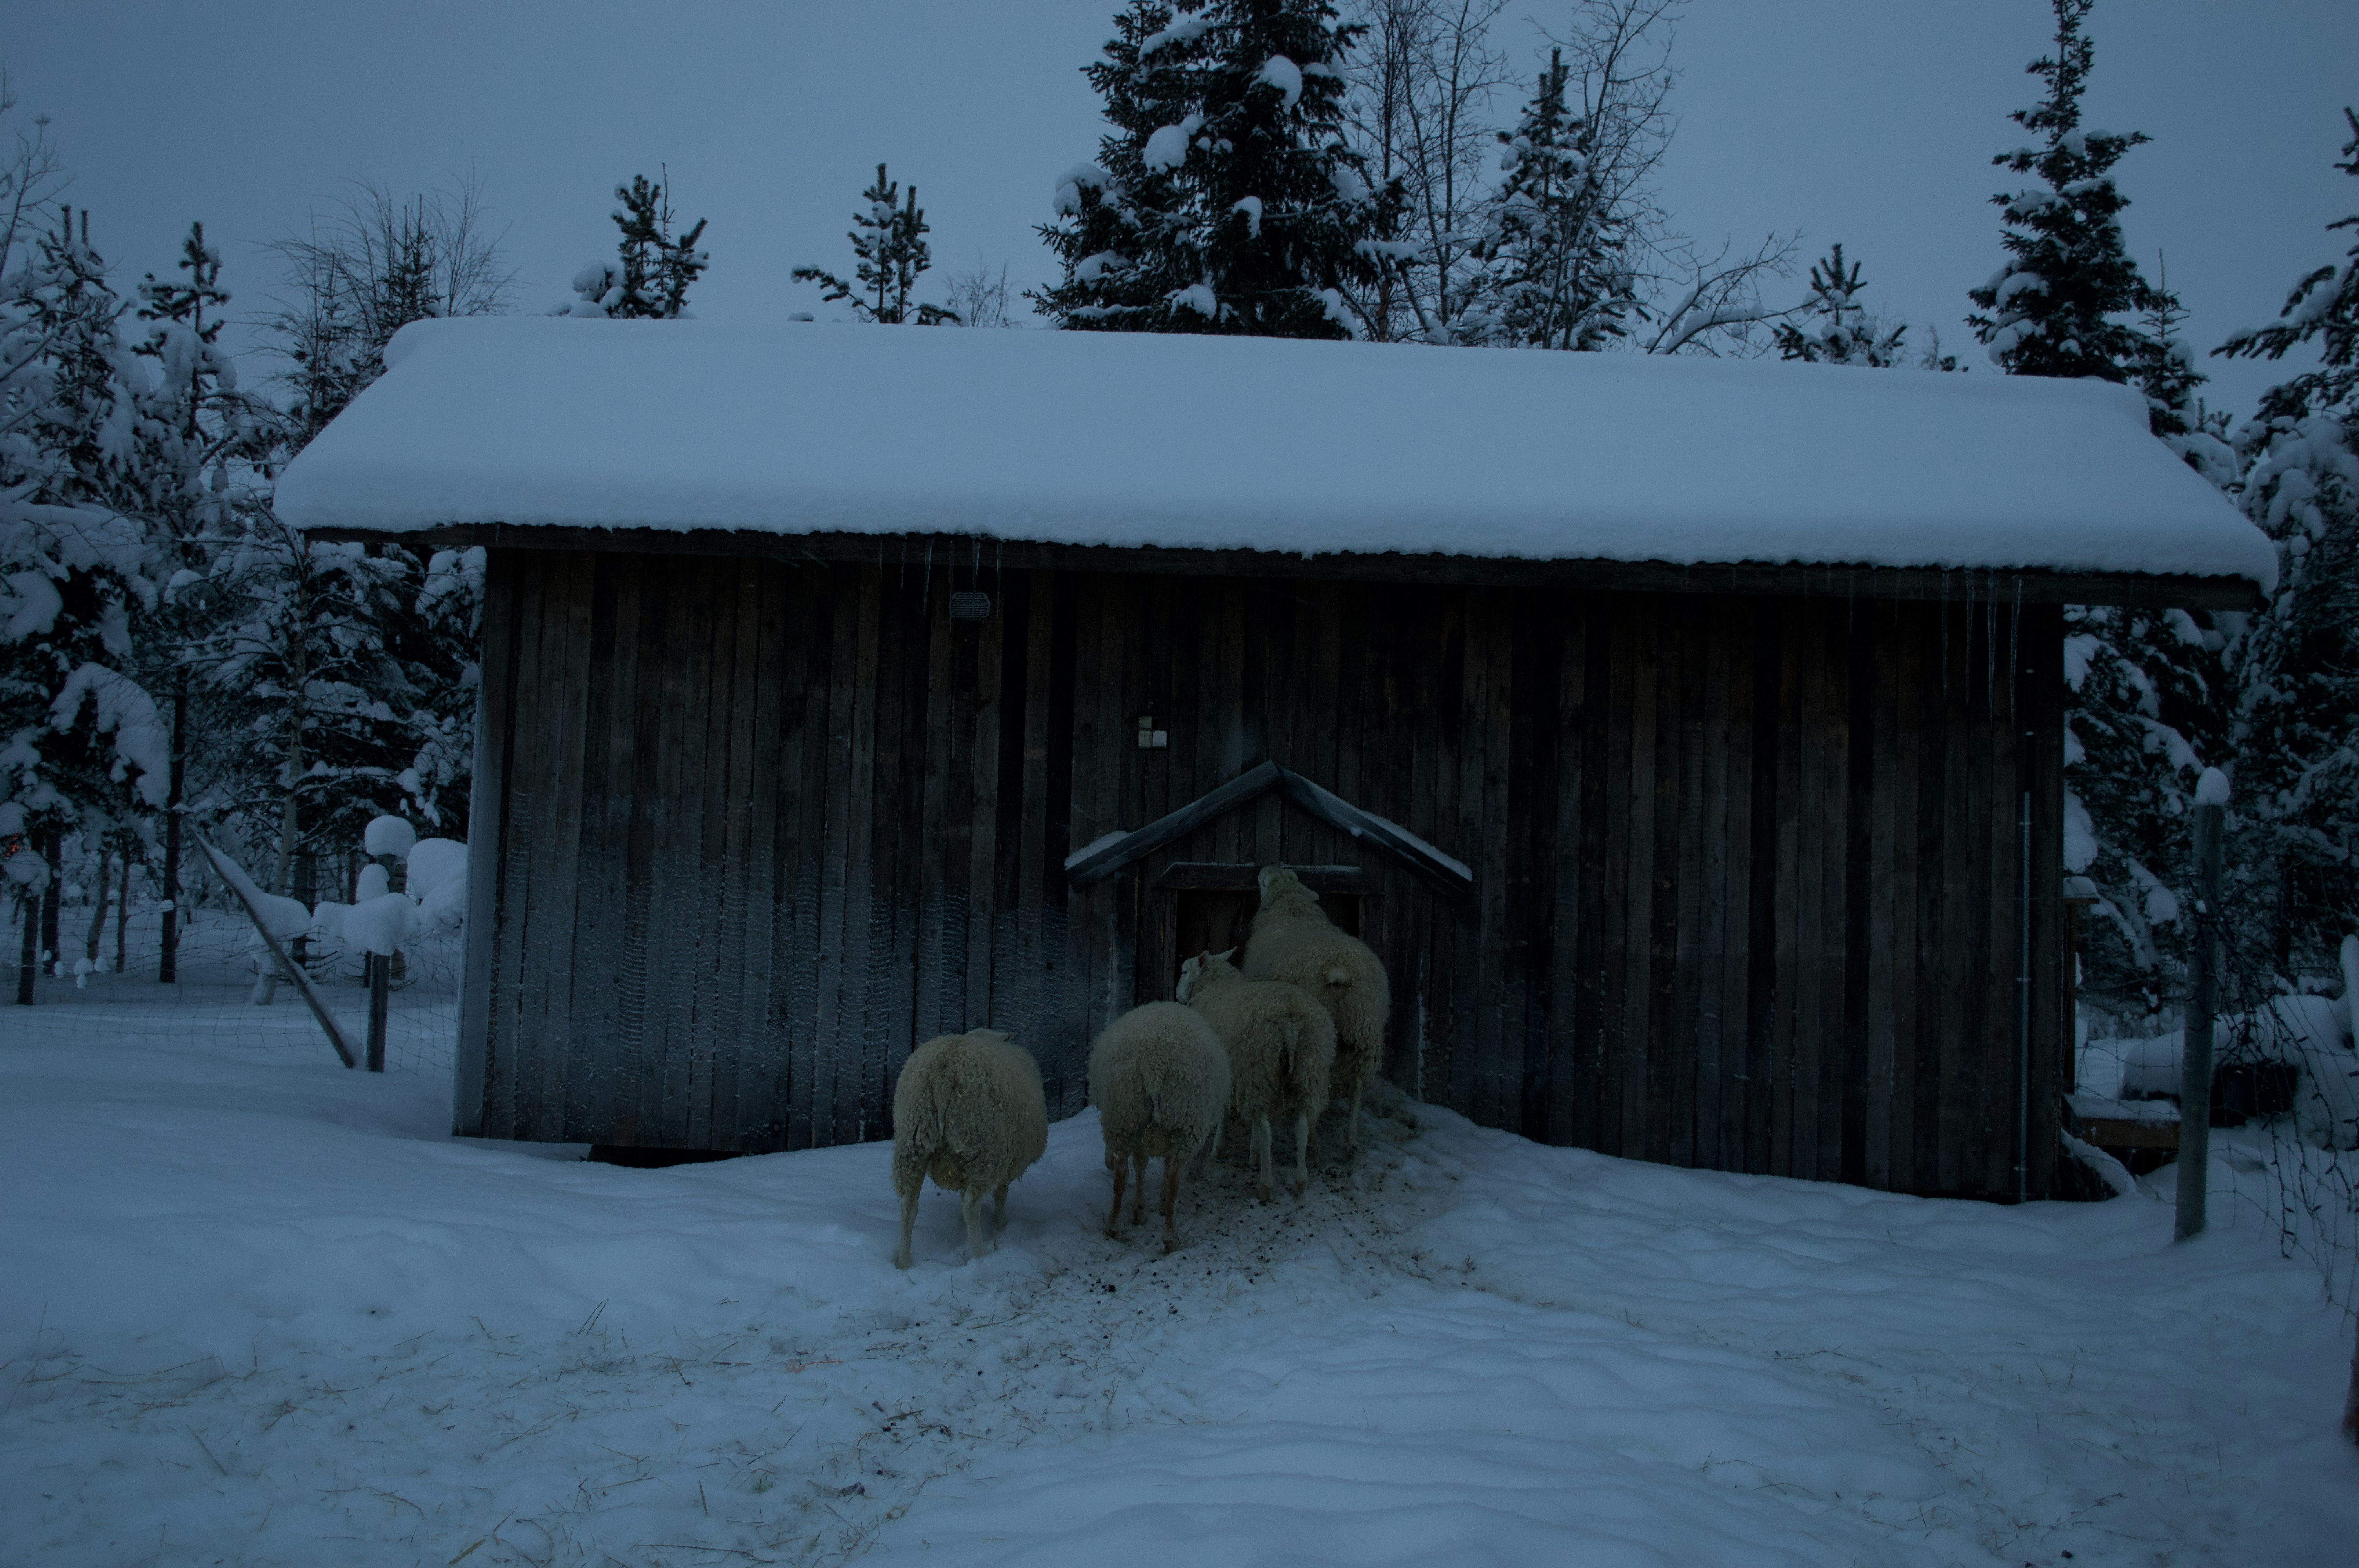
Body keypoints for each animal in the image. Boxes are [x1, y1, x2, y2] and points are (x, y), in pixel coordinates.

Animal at [890, 1029, 1048, 1271]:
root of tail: (943, 1073)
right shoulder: (1005, 1163)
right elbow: (1001, 1195)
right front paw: (1001, 1226)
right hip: (984, 1148)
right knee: (971, 1206)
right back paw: (981, 1256)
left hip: (913, 1139)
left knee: (908, 1205)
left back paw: (904, 1263)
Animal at [1088, 1001, 1232, 1253]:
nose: (1106, 1161)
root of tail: (1153, 1064)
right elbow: (1164, 1168)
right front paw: (1161, 1205)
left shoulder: (1144, 1137)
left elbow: (1141, 1166)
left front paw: (1140, 1211)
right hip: (1187, 1123)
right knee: (1175, 1179)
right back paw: (1170, 1238)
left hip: (1124, 1116)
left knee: (1120, 1177)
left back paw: (1113, 1227)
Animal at [1178, 948, 1335, 1201]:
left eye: (1184, 971)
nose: (1177, 996)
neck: (1216, 986)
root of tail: (1291, 1024)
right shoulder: (1240, 1072)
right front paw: (1254, 1153)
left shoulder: (1227, 1071)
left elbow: (1224, 1112)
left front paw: (1219, 1148)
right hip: (1309, 1072)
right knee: (1301, 1126)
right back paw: (1301, 1181)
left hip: (1259, 1066)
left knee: (1267, 1129)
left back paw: (1266, 1185)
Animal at [1240, 866, 1393, 1152]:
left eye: (1264, 883)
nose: (1269, 866)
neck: (1292, 907)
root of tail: (1340, 971)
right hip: (1365, 1029)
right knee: (1357, 1086)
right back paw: (1351, 1142)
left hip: (1317, 1033)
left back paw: (1313, 1141)